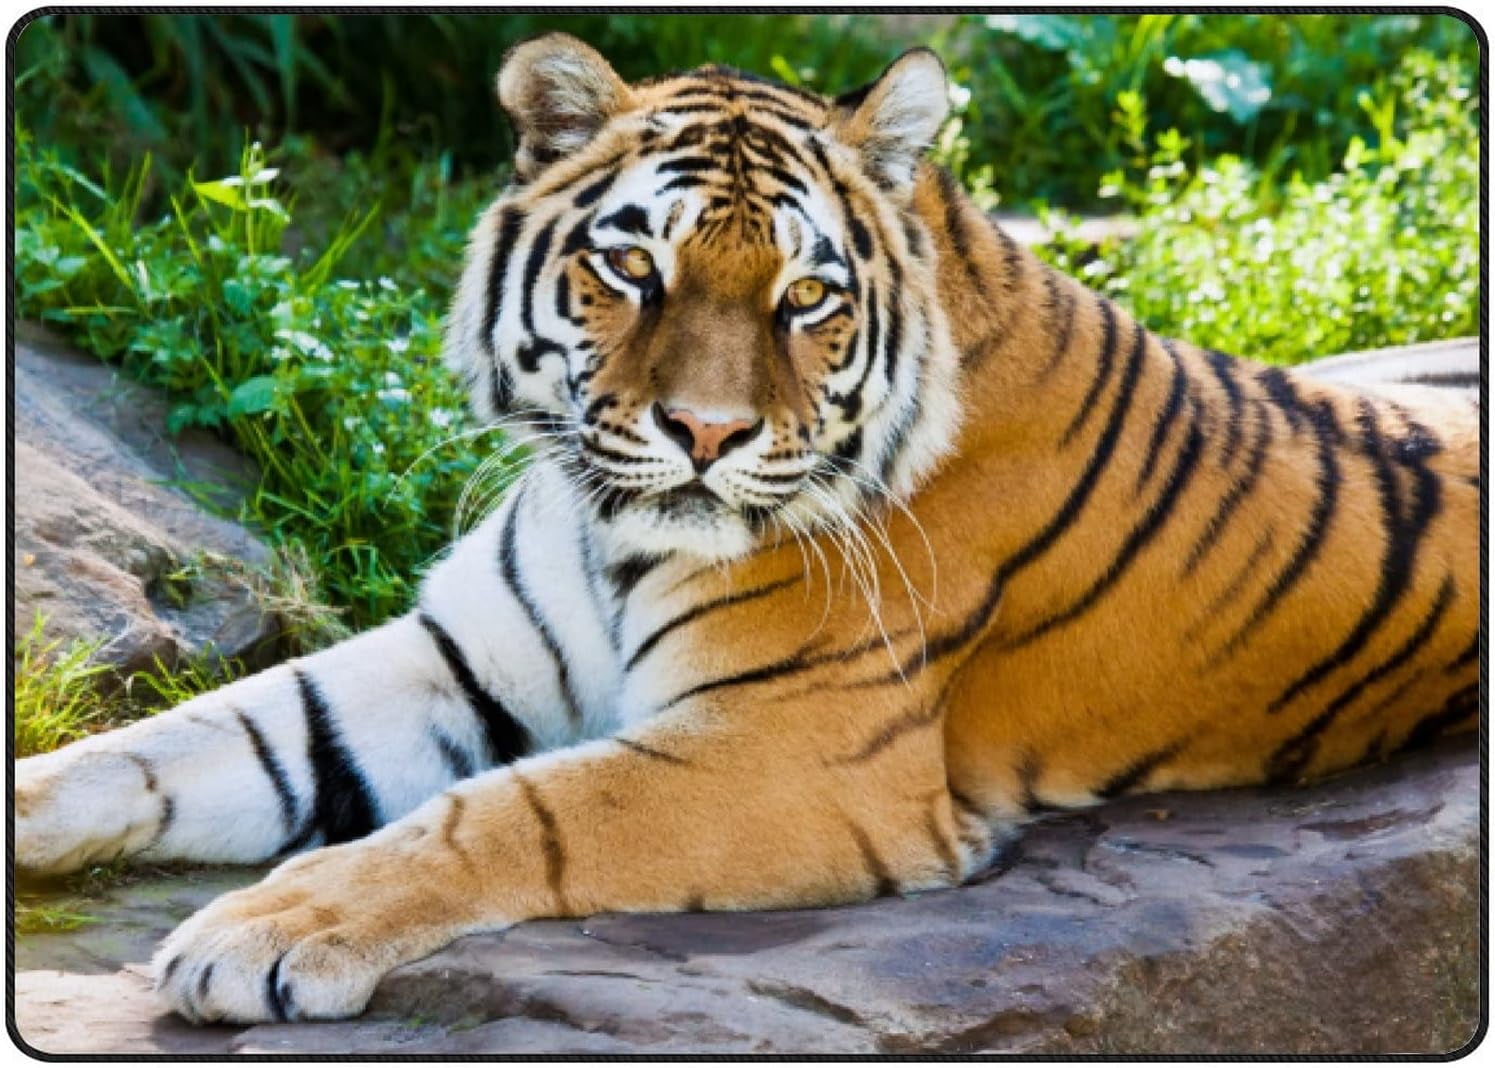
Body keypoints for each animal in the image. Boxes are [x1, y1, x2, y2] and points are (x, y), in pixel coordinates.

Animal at [14, 34, 1480, 1026]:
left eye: (805, 296)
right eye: (630, 267)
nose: (705, 434)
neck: (605, 528)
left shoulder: (784, 754)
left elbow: (506, 817)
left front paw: (266, 930)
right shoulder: (457, 655)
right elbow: (189, 739)